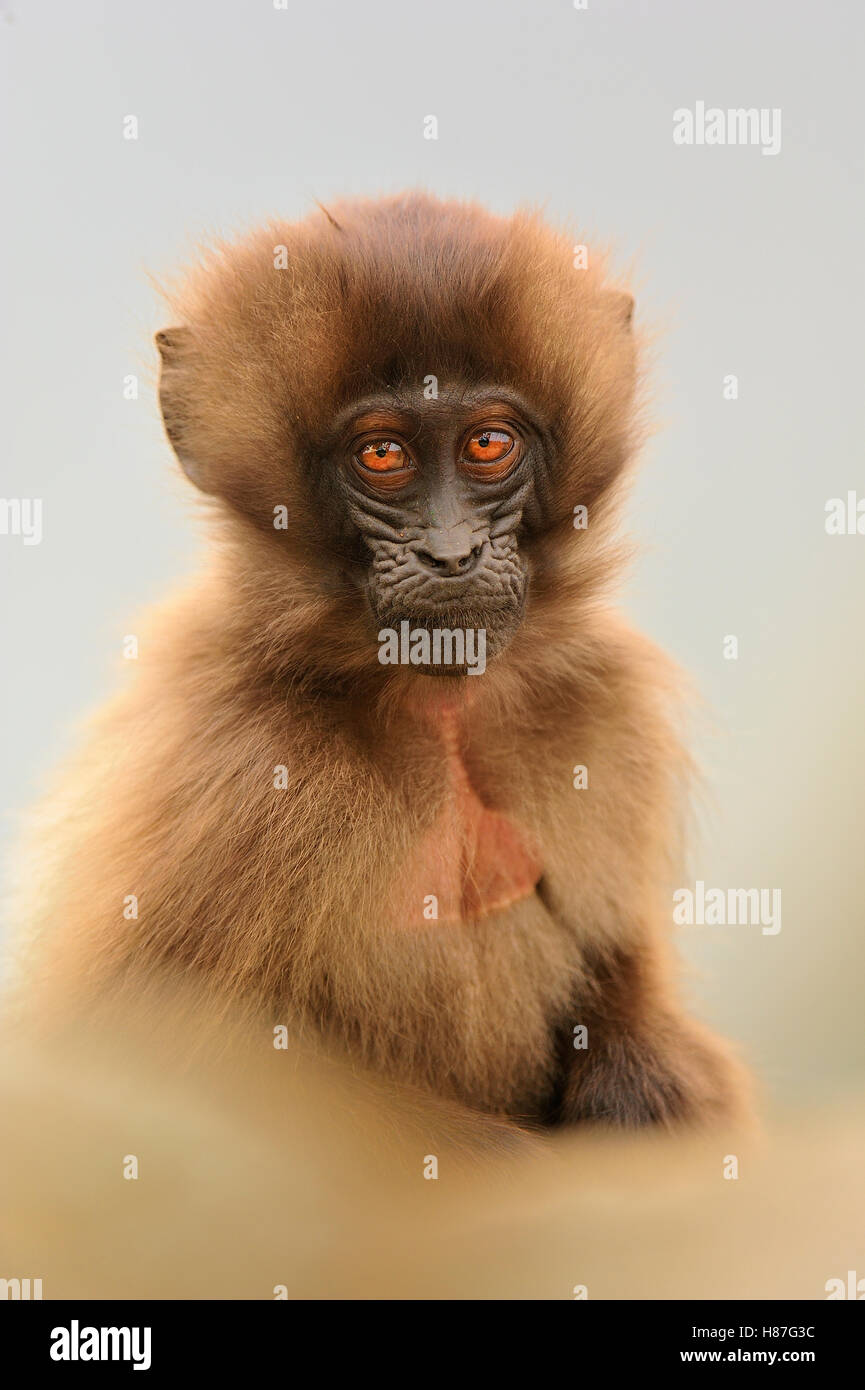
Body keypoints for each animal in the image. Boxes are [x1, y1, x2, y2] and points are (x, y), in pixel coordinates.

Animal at [8, 192, 750, 1130]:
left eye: (486, 445)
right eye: (383, 455)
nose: (451, 555)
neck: (435, 714)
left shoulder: (601, 701)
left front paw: (632, 1077)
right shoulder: (243, 763)